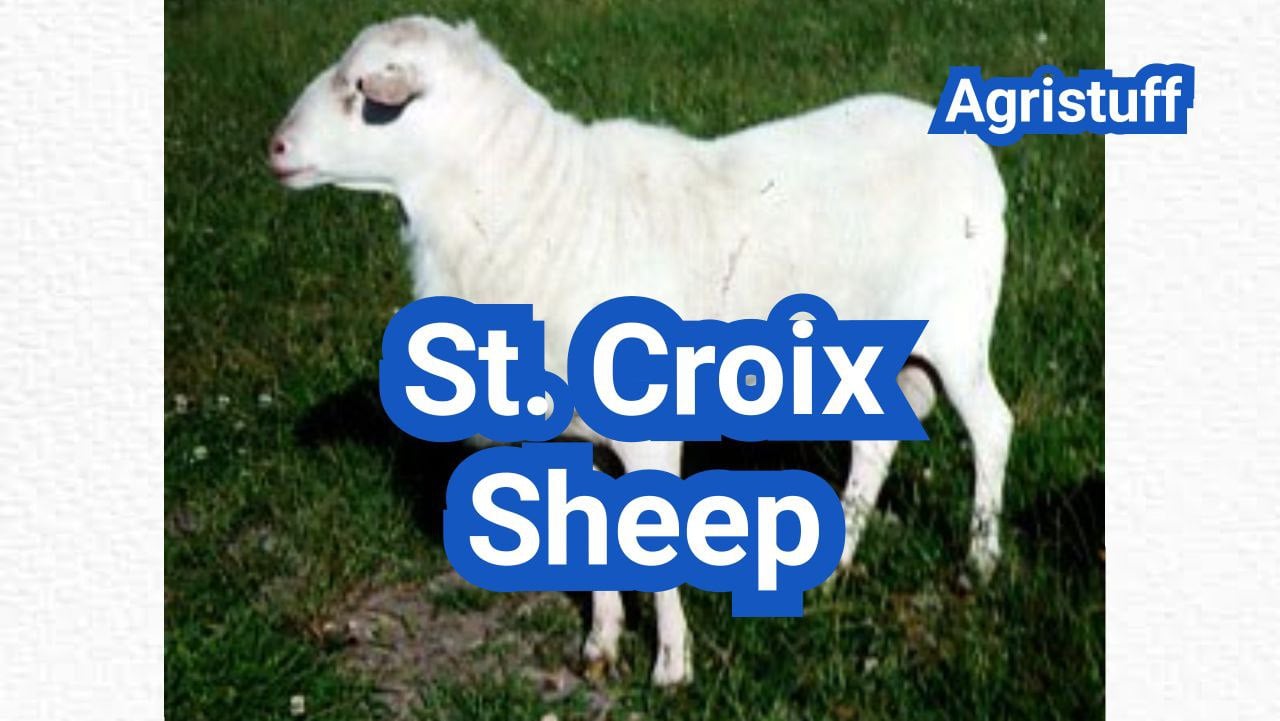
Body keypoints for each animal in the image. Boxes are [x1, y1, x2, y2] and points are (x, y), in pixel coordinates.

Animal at [270, 16, 1013, 688]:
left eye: (360, 90)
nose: (274, 148)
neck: (531, 212)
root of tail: (967, 143)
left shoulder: (648, 430)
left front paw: (672, 667)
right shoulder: (571, 437)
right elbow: (588, 541)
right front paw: (600, 647)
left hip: (957, 324)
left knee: (992, 426)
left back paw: (978, 563)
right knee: (874, 445)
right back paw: (833, 572)